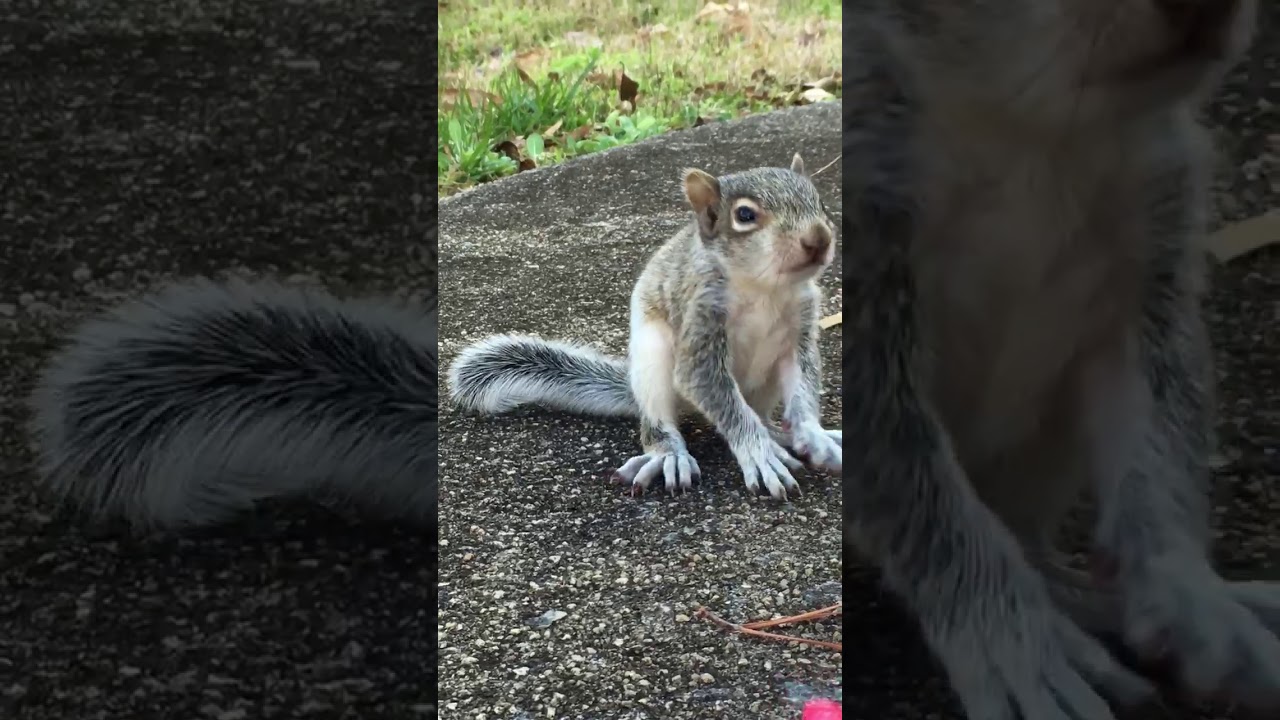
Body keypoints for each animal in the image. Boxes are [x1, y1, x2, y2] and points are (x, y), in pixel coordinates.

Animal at [449, 155, 842, 500]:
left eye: (820, 201)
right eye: (745, 215)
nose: (819, 239)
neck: (764, 289)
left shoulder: (800, 332)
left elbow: (803, 387)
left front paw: (814, 437)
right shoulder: (700, 317)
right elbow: (713, 390)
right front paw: (760, 454)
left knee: (760, 413)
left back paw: (779, 434)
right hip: (653, 364)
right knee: (660, 424)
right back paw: (669, 455)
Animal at [844, 0, 1278, 718]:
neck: (1035, 135)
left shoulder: (1154, 247)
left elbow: (1160, 440)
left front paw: (1199, 606)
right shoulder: (868, 261)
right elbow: (916, 489)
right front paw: (1014, 647)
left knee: (1033, 541)